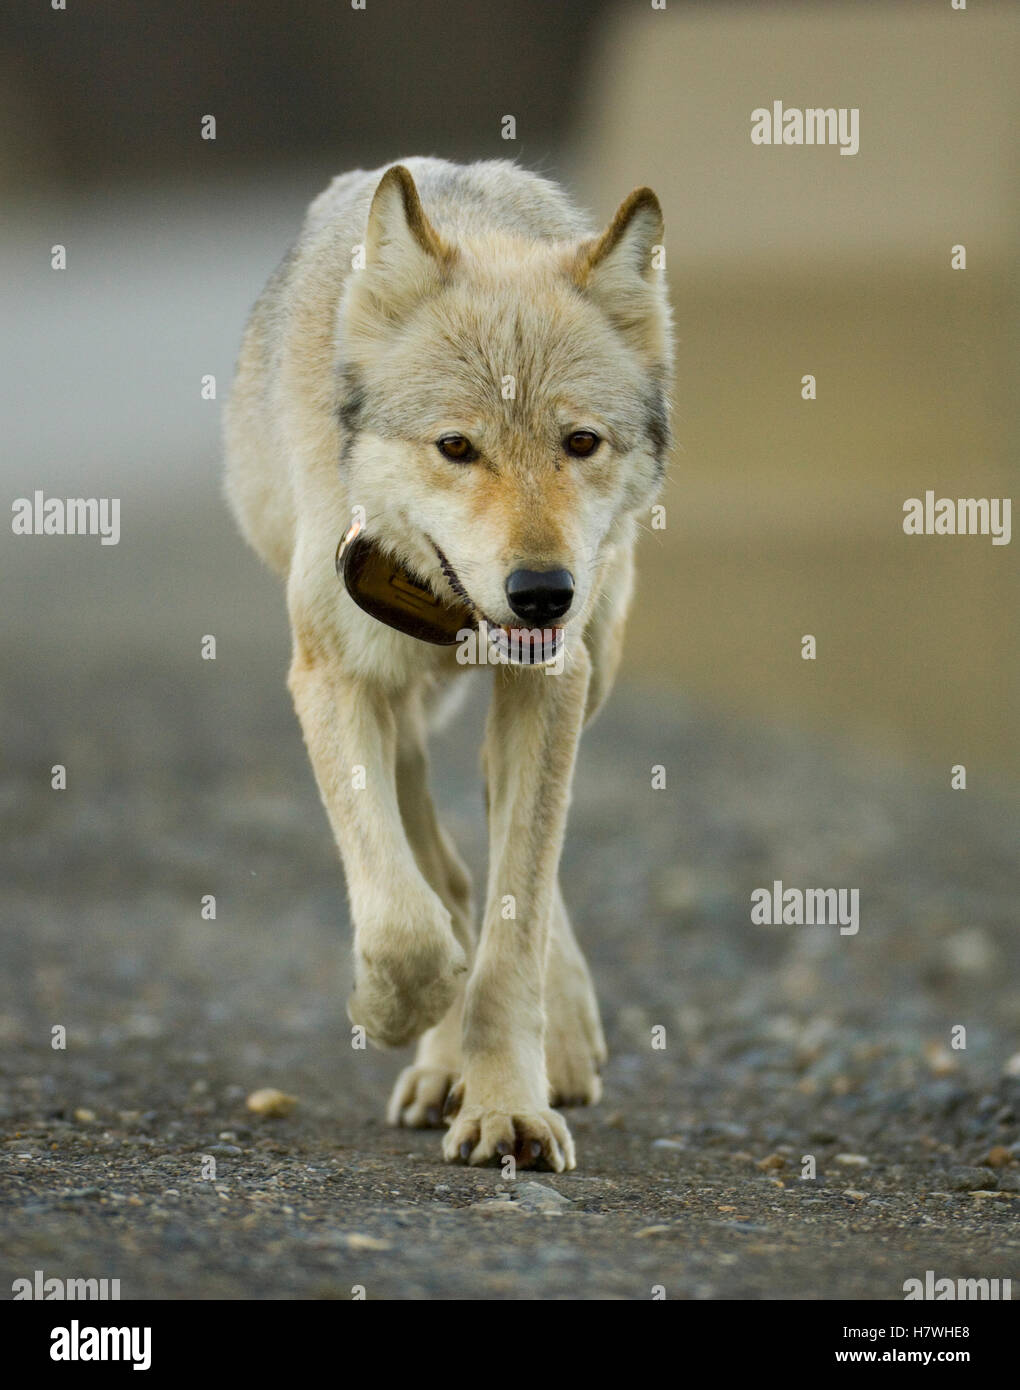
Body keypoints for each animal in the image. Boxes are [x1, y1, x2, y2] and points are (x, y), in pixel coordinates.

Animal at [224, 157, 672, 1170]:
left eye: (579, 443)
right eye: (456, 448)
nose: (542, 593)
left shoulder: (550, 684)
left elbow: (515, 926)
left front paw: (509, 1106)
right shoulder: (332, 678)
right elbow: (404, 924)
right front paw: (392, 1010)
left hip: (593, 667)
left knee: (509, 859)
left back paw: (556, 1042)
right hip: (390, 704)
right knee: (443, 873)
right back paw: (436, 1058)